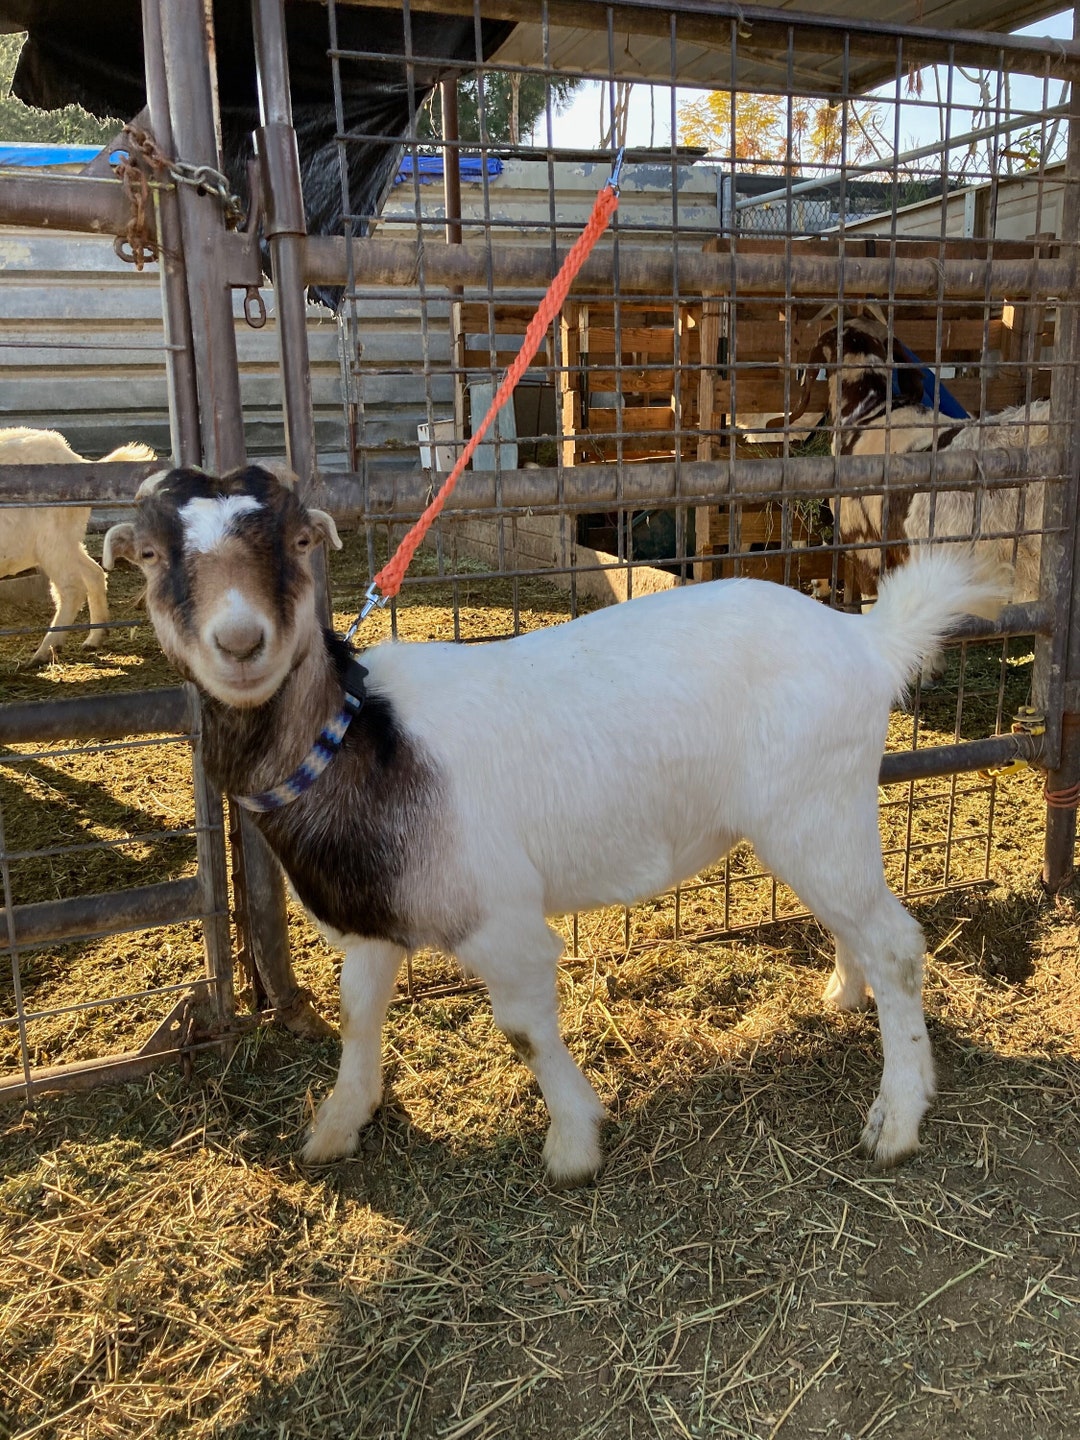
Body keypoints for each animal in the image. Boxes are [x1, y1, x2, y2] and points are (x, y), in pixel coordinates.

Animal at [0, 428, 155, 665]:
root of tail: (76, 459)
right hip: (67, 541)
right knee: (94, 573)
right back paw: (94, 637)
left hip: (53, 542)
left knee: (71, 588)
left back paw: (45, 652)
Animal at [104, 464, 1006, 1185]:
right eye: (150, 556)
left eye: (297, 540)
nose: (240, 640)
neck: (358, 740)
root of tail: (868, 641)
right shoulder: (374, 919)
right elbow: (360, 1014)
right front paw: (335, 1127)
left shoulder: (498, 920)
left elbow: (523, 1031)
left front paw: (574, 1143)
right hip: (815, 822)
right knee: (856, 924)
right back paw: (844, 998)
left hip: (816, 807)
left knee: (896, 942)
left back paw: (896, 1119)